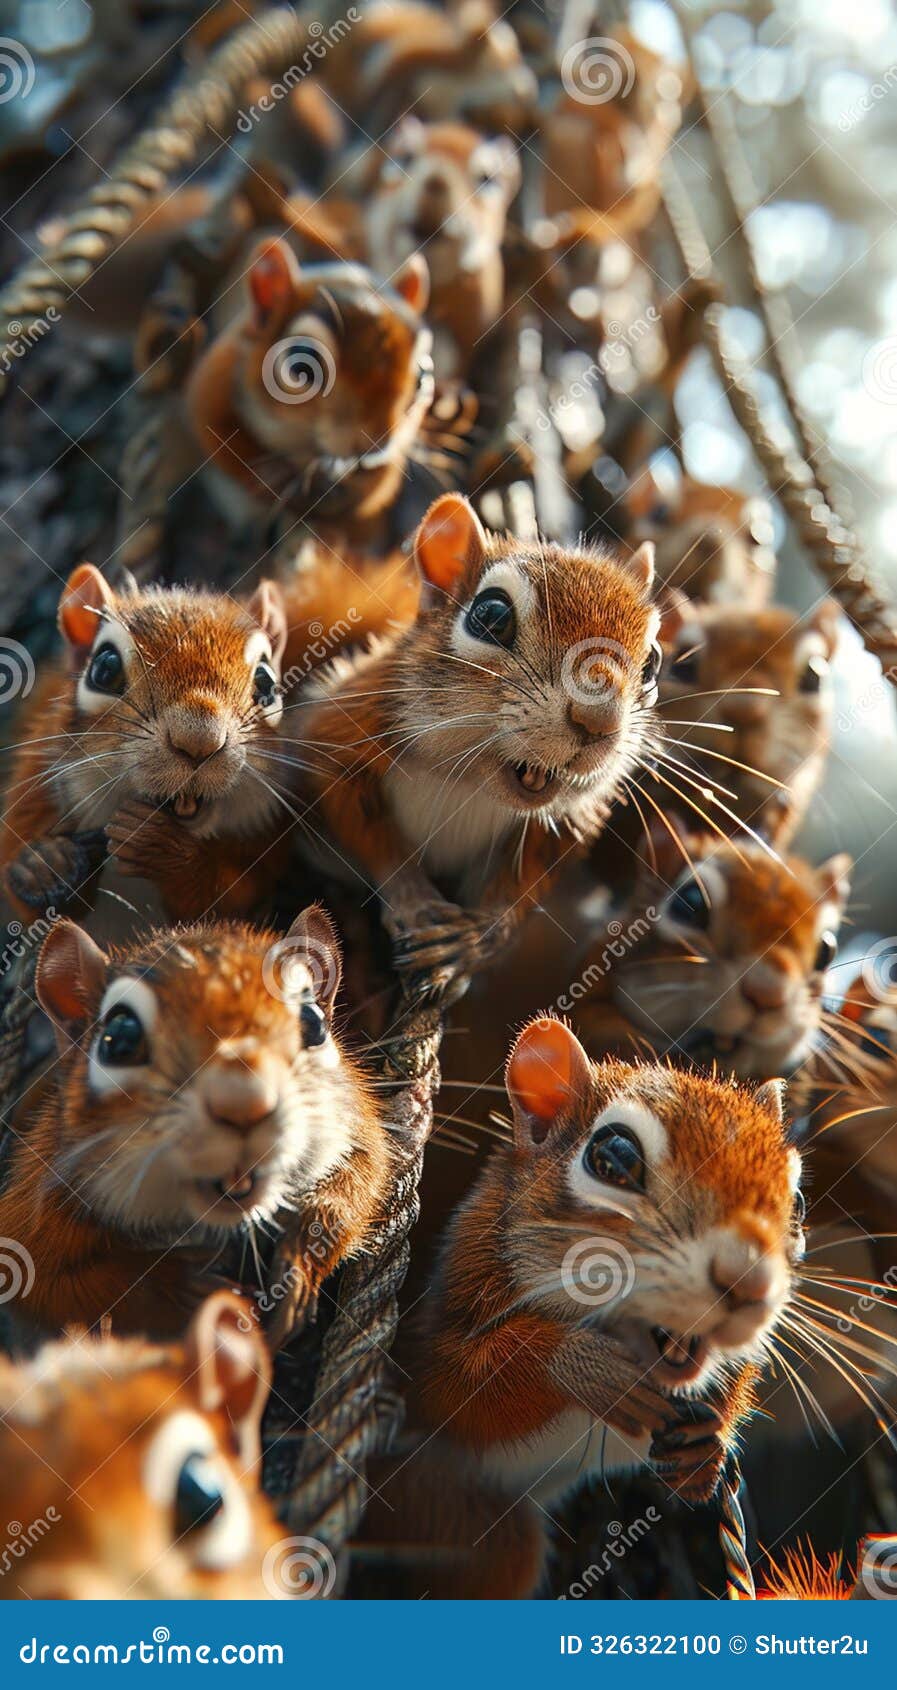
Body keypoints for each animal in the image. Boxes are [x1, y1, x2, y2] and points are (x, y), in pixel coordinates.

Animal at [0, 563, 295, 925]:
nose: (199, 740)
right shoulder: (34, 787)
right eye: (105, 667)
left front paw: (159, 846)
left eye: (266, 682)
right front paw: (44, 867)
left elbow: (227, 903)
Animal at [0, 907, 389, 1341]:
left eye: (314, 1021)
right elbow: (49, 1283)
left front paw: (297, 1267)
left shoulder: (356, 1123)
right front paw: (185, 1287)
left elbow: (364, 1177)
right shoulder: (34, 1201)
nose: (244, 1102)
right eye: (118, 1038)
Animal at [292, 491, 660, 993]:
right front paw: (414, 900)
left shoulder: (566, 820)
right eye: (491, 615)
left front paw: (476, 939)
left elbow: (521, 887)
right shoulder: (342, 733)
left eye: (653, 663)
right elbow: (368, 830)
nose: (598, 720)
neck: (466, 782)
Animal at [359, 1015, 803, 1598]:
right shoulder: (434, 1331)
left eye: (797, 1202)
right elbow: (457, 1385)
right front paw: (583, 1366)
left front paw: (707, 1448)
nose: (751, 1282)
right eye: (614, 1159)